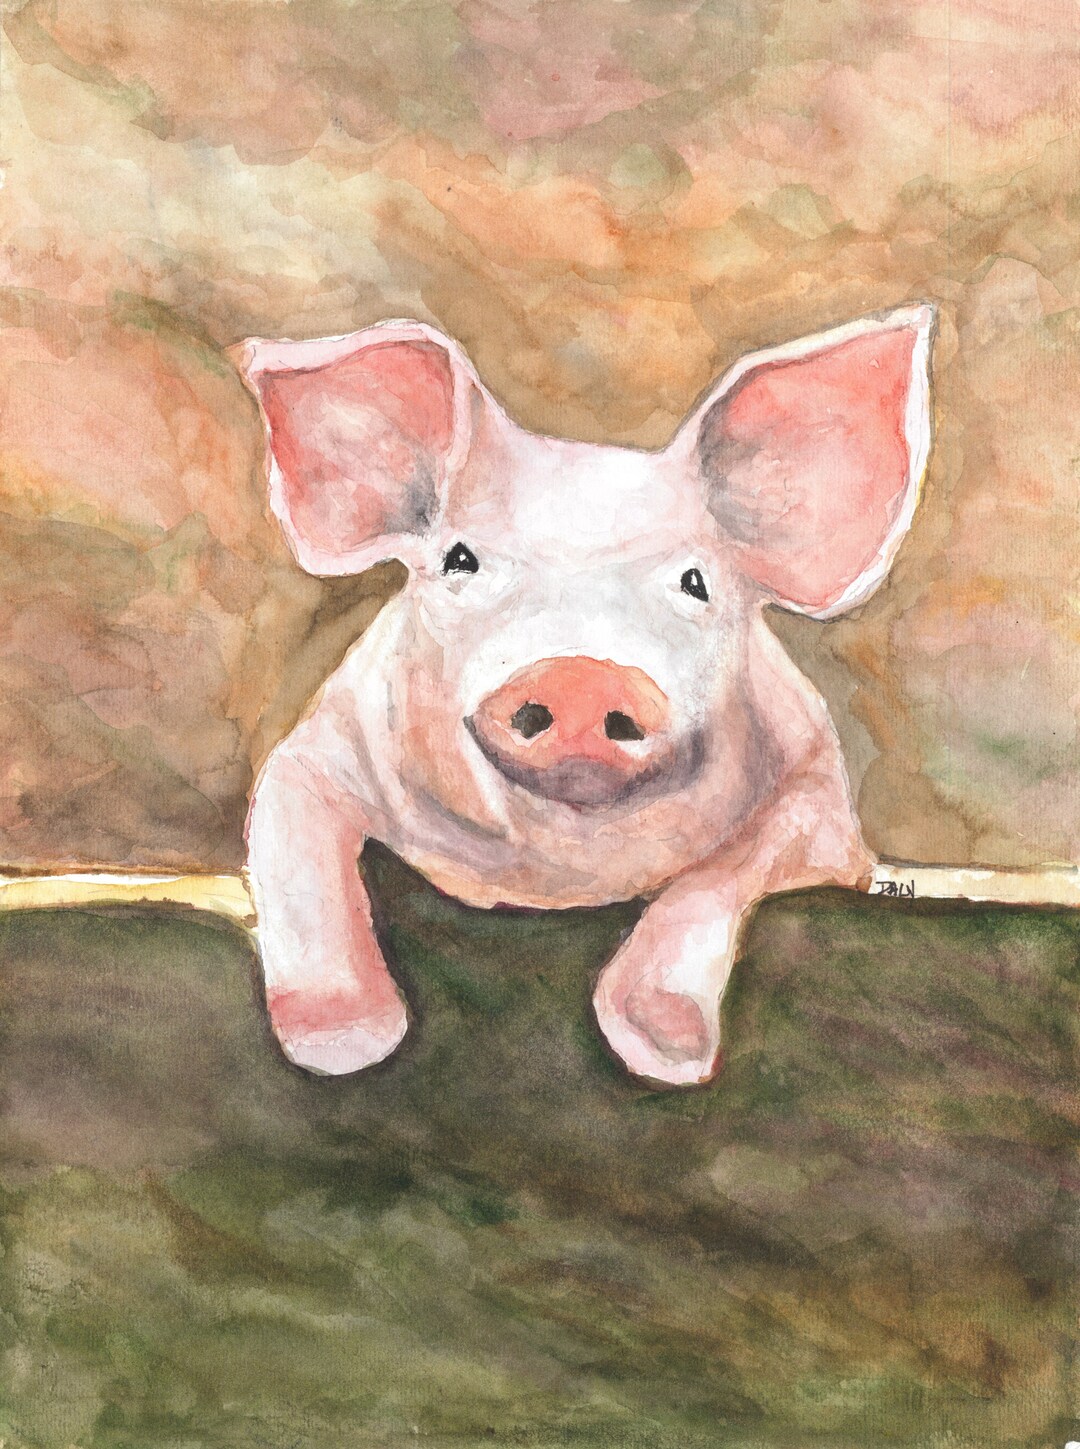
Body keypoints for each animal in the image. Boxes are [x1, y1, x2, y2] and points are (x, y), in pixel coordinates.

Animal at [231, 304, 935, 1087]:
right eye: (460, 559)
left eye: (695, 581)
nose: (580, 674)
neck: (555, 875)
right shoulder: (316, 752)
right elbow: (298, 858)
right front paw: (343, 1042)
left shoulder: (823, 802)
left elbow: (719, 876)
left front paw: (666, 1051)